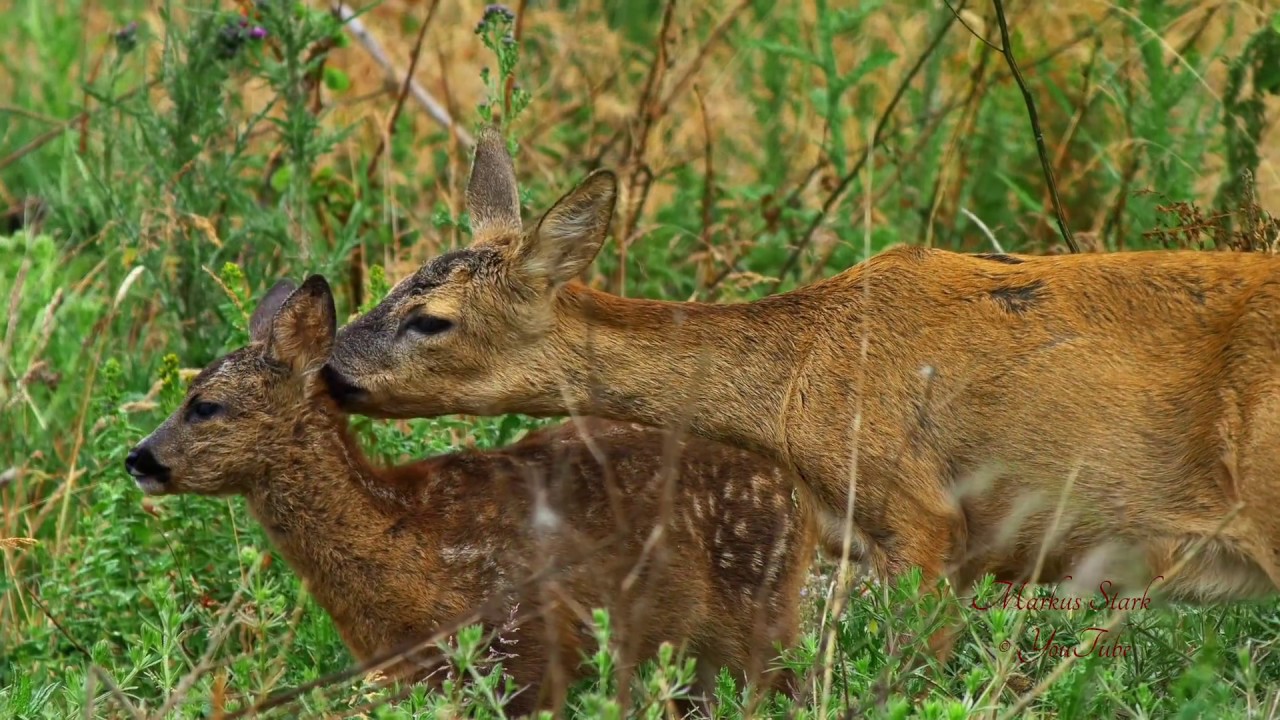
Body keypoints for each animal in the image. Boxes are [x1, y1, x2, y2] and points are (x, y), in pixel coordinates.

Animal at [123, 273, 819, 718]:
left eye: (205, 405)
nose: (137, 459)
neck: (406, 542)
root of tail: (798, 489)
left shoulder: (526, 647)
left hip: (760, 612)